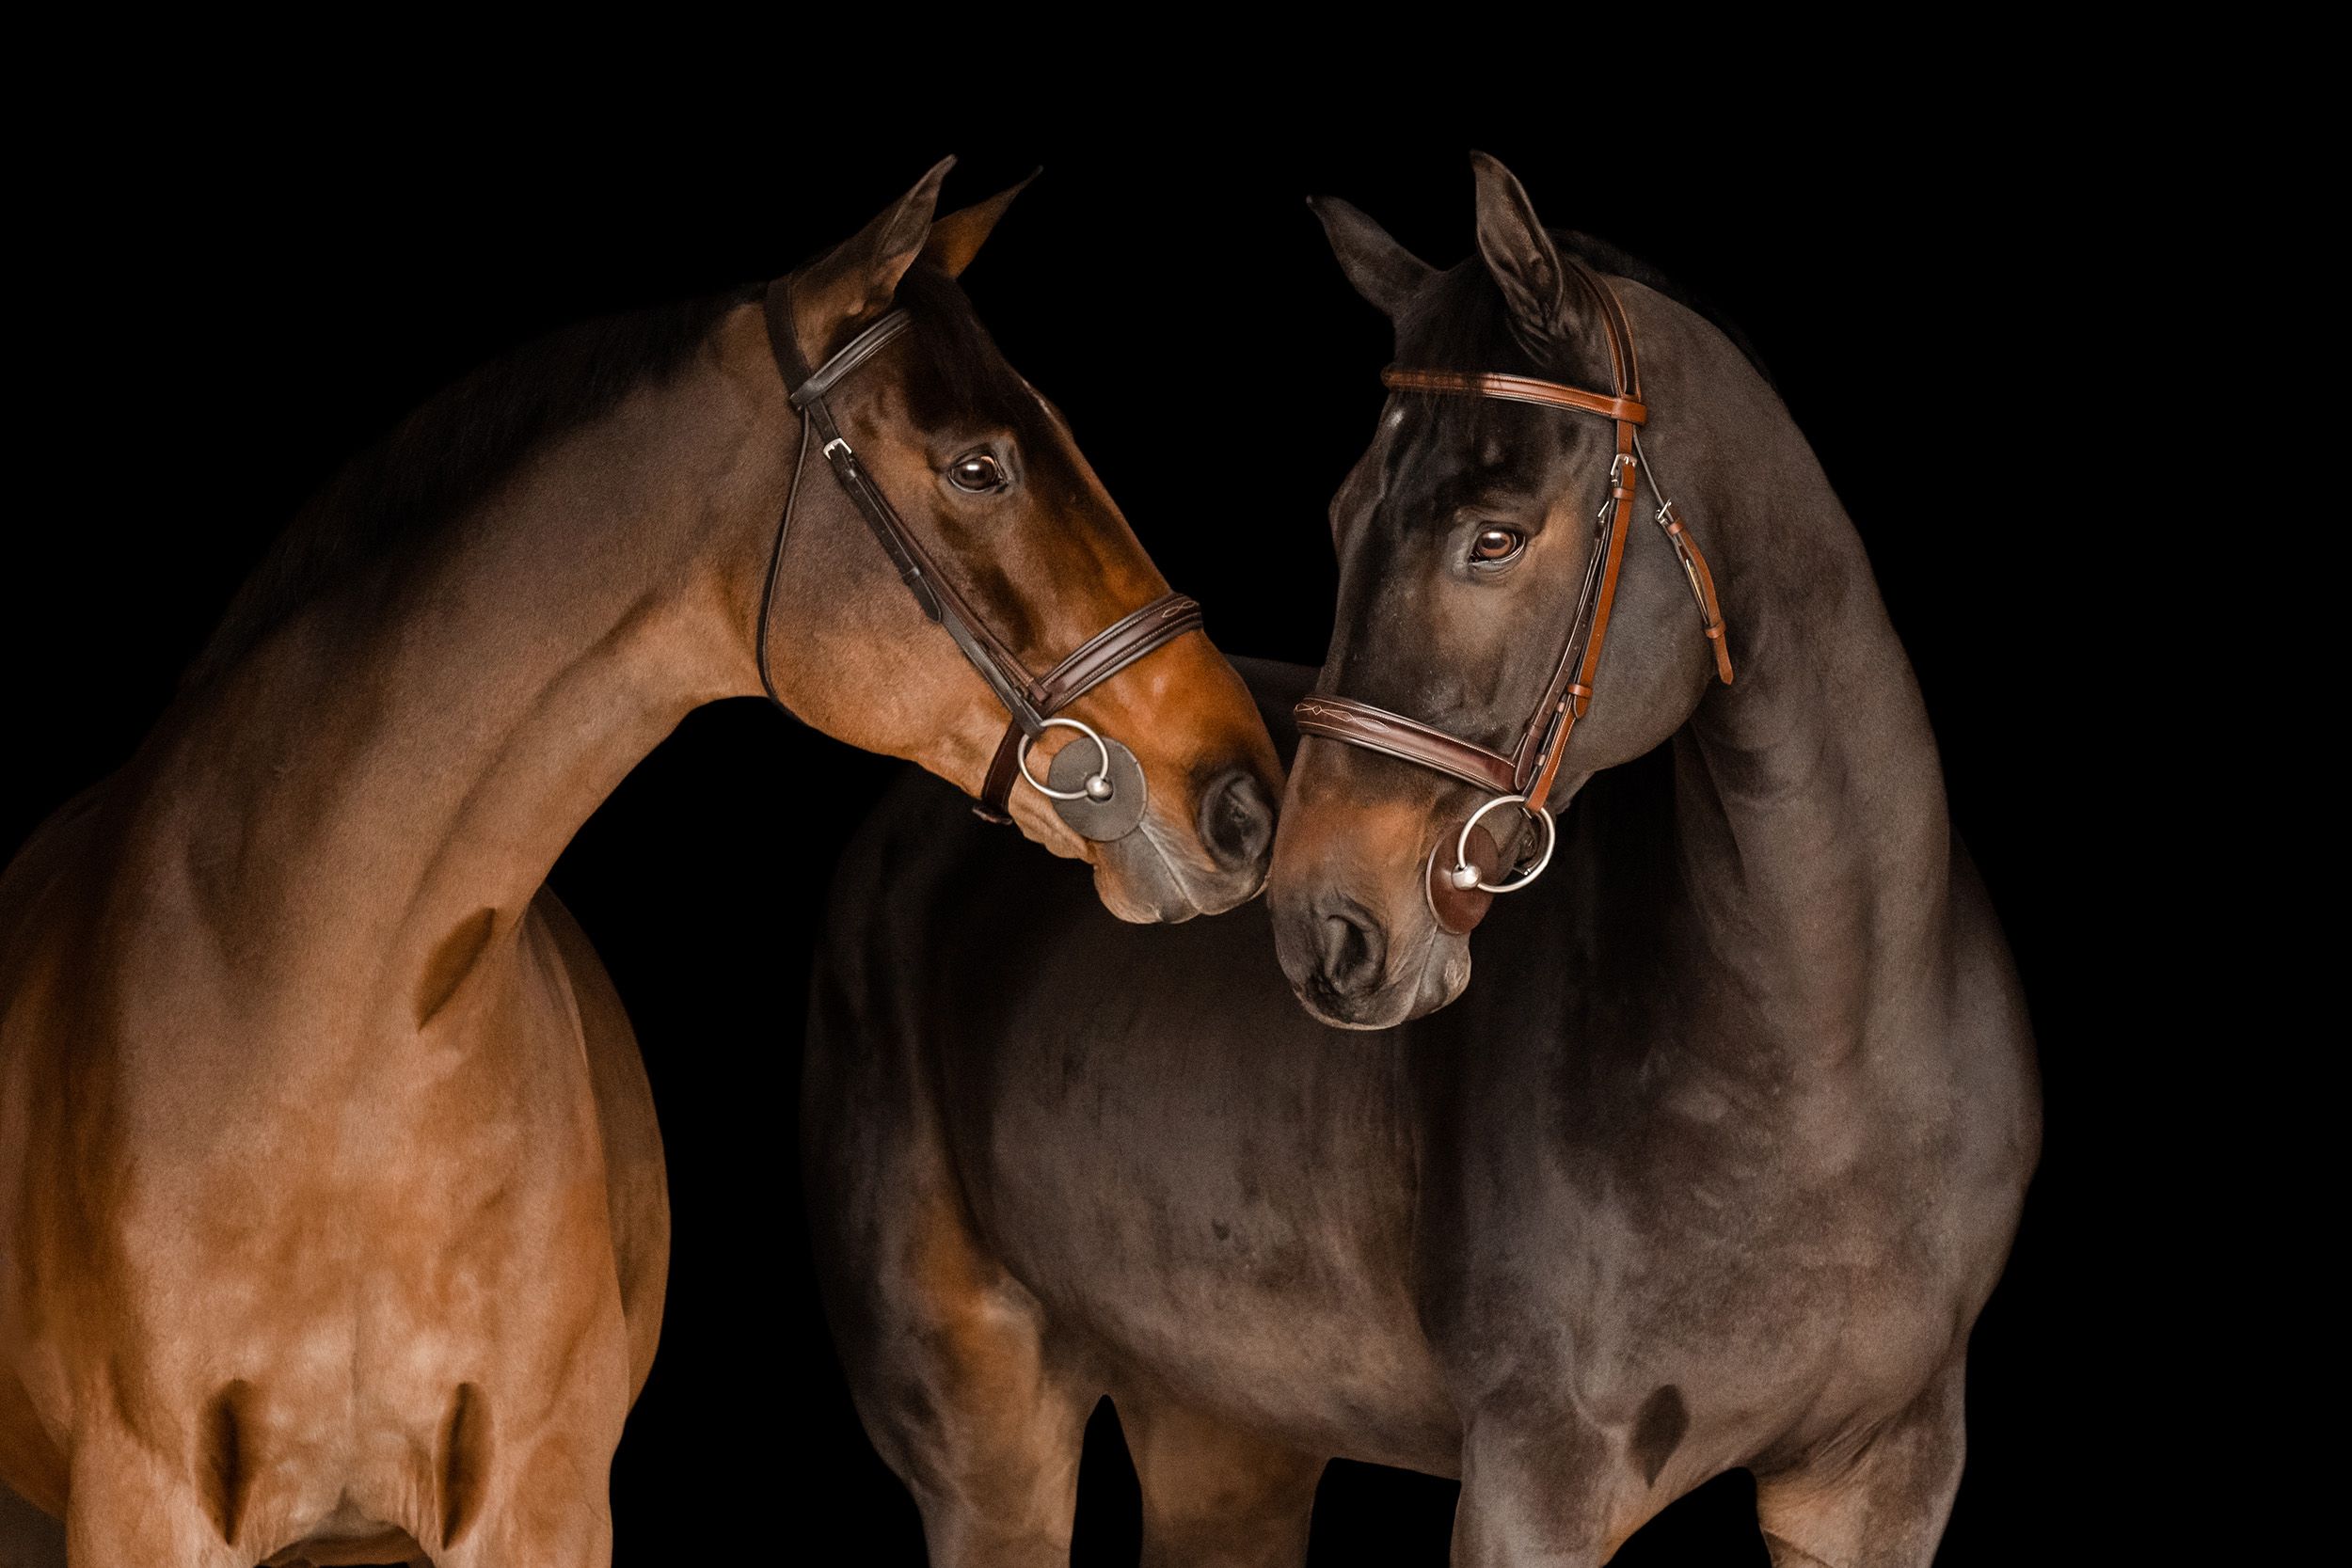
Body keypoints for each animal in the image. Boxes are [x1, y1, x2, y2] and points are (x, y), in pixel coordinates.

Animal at [803, 153, 2038, 1566]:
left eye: (1494, 536)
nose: (1326, 925)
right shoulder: (1534, 1484)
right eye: (1343, 516)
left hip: (1225, 1425)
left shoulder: (1883, 1477)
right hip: (985, 1436)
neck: (1823, 1057)